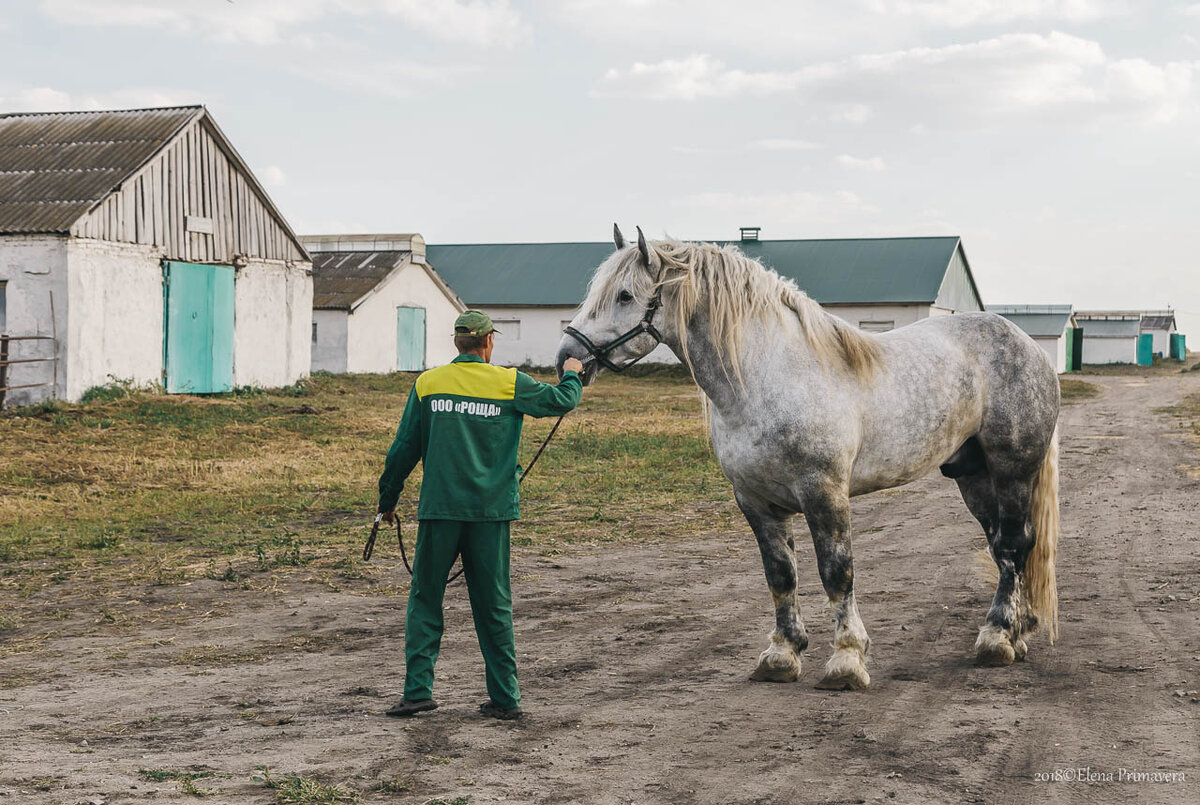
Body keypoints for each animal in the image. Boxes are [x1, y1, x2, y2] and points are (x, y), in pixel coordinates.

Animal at [554, 227, 1060, 691]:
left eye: (624, 295)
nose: (567, 357)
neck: (767, 377)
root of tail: (1027, 344)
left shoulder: (825, 494)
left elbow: (837, 573)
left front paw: (847, 660)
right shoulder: (755, 501)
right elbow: (780, 575)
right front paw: (781, 655)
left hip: (1012, 470)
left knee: (1014, 545)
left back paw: (997, 638)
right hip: (972, 476)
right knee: (1001, 546)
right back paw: (1017, 633)